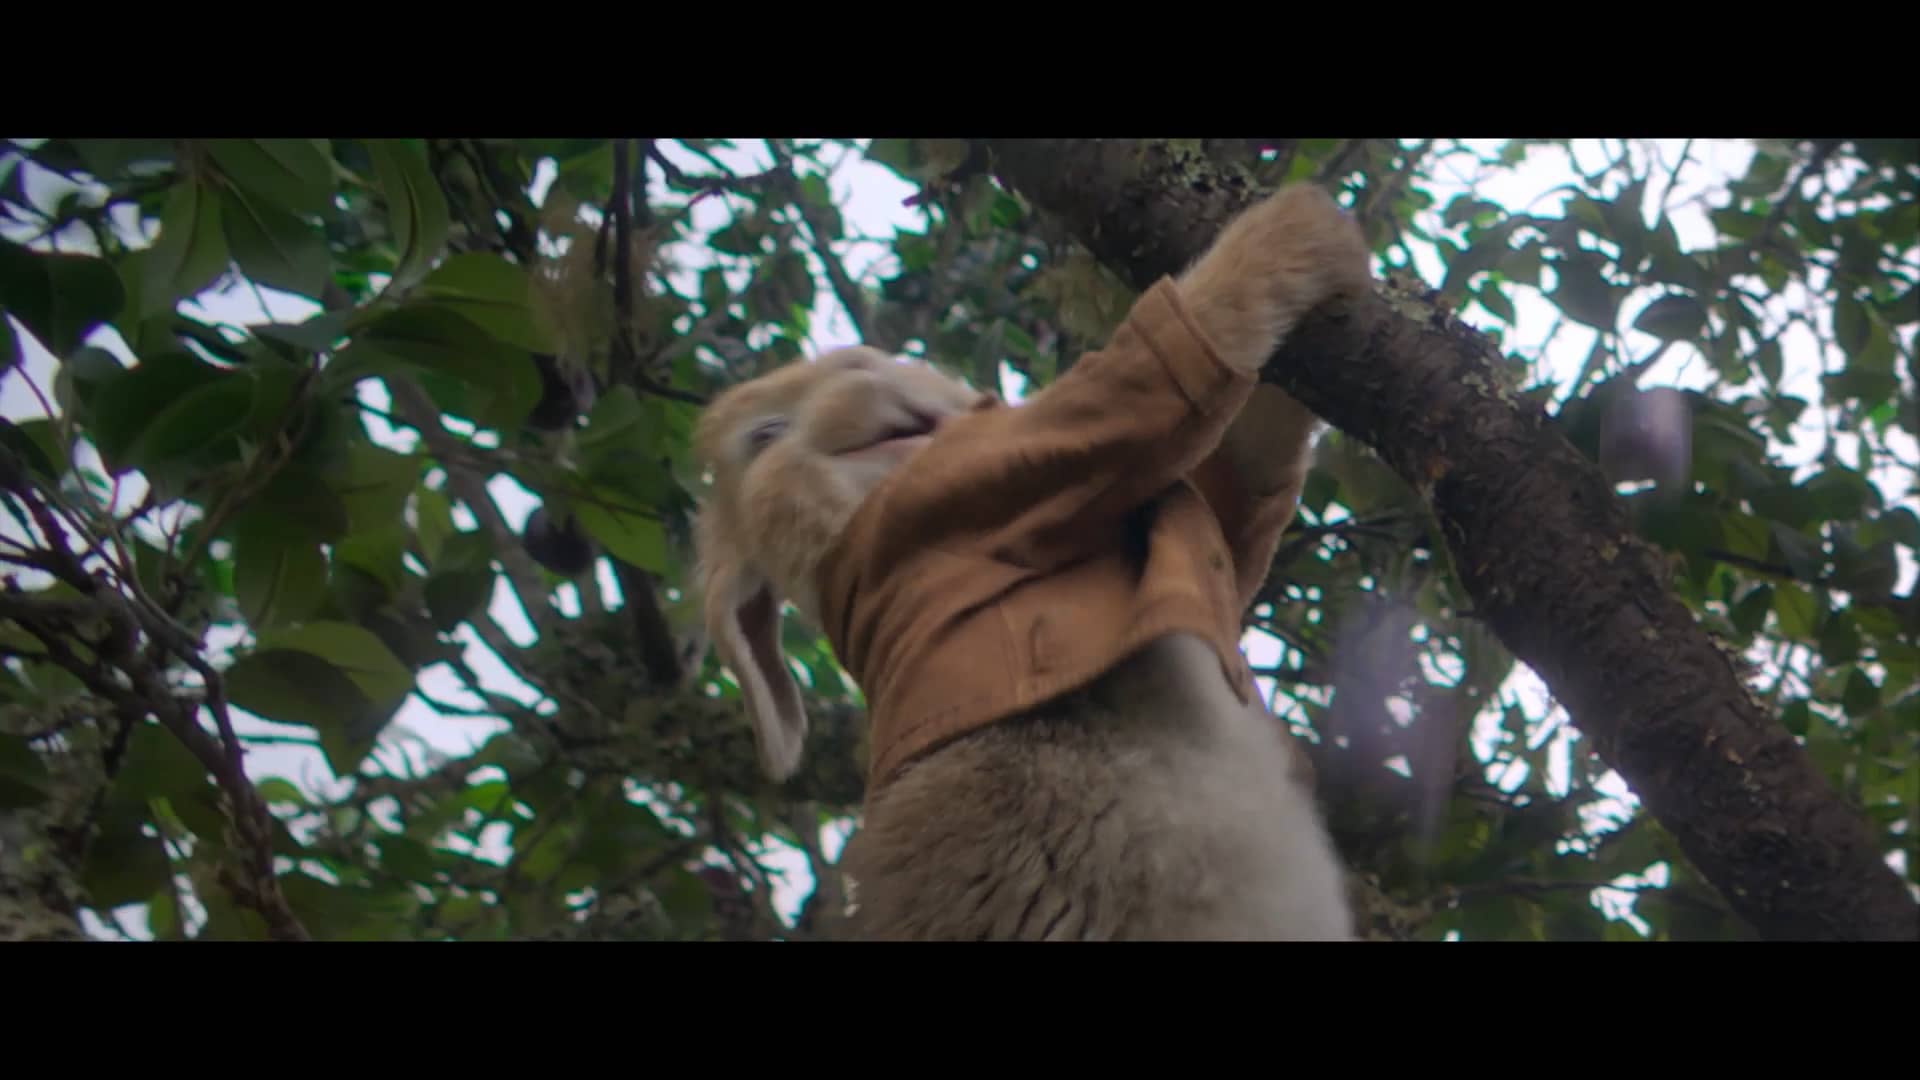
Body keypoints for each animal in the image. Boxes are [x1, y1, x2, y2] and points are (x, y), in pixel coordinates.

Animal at [692, 183, 1373, 940]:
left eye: (861, 361)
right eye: (763, 435)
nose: (865, 383)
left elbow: (1237, 476)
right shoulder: (984, 486)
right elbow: (1163, 364)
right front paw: (1307, 223)